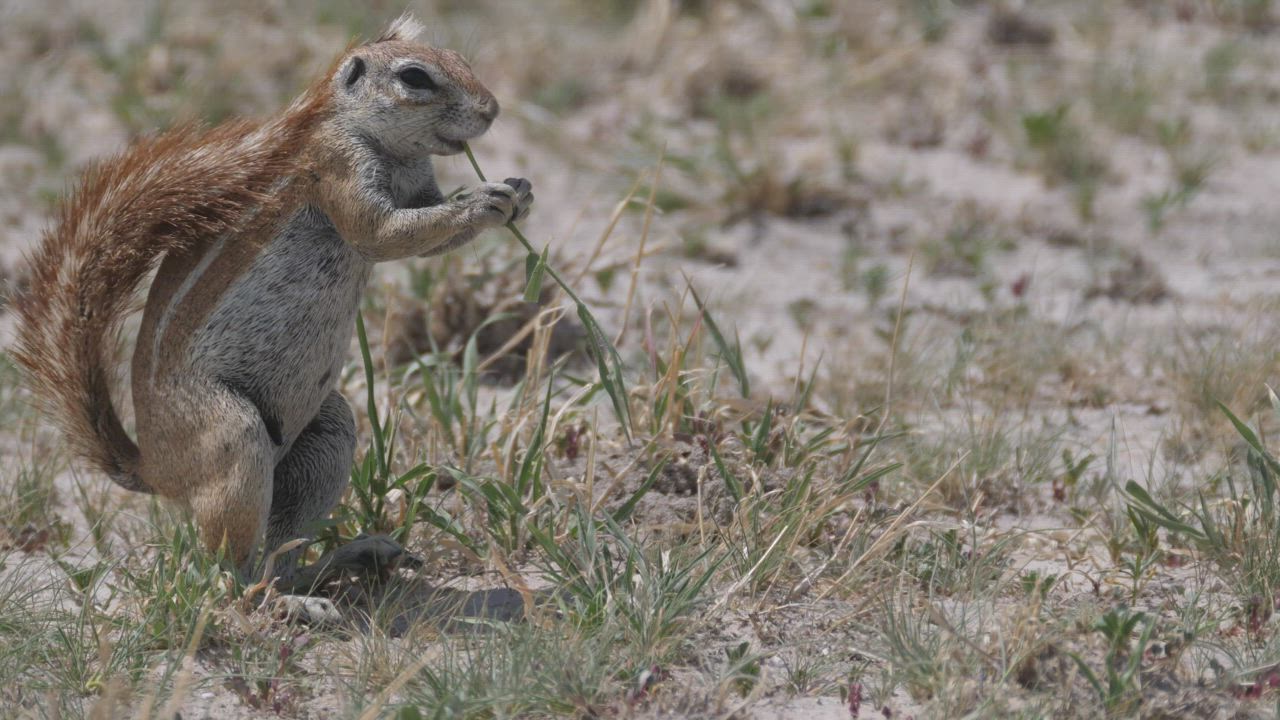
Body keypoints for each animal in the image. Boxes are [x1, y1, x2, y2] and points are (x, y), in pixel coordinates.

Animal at [13, 14, 533, 590]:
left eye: (458, 59)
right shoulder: (339, 167)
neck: (385, 145)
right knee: (234, 572)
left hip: (327, 432)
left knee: (280, 553)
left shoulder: (418, 184)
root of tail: (156, 470)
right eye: (415, 77)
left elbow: (427, 231)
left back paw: (341, 564)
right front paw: (486, 200)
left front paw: (519, 192)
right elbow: (384, 234)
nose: (491, 110)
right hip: (231, 436)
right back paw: (288, 595)